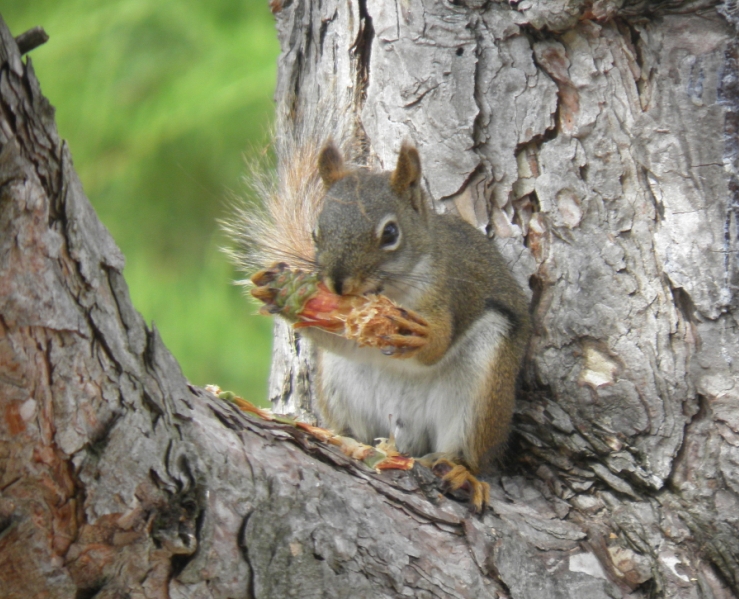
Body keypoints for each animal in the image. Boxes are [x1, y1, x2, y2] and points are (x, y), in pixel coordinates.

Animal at [224, 107, 531, 510]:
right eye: (316, 233)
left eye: (390, 234)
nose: (337, 283)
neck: (392, 291)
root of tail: (405, 441)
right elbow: (337, 336)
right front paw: (279, 293)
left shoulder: (450, 291)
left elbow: (437, 344)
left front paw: (421, 336)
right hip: (339, 384)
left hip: (483, 386)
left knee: (467, 452)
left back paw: (460, 471)